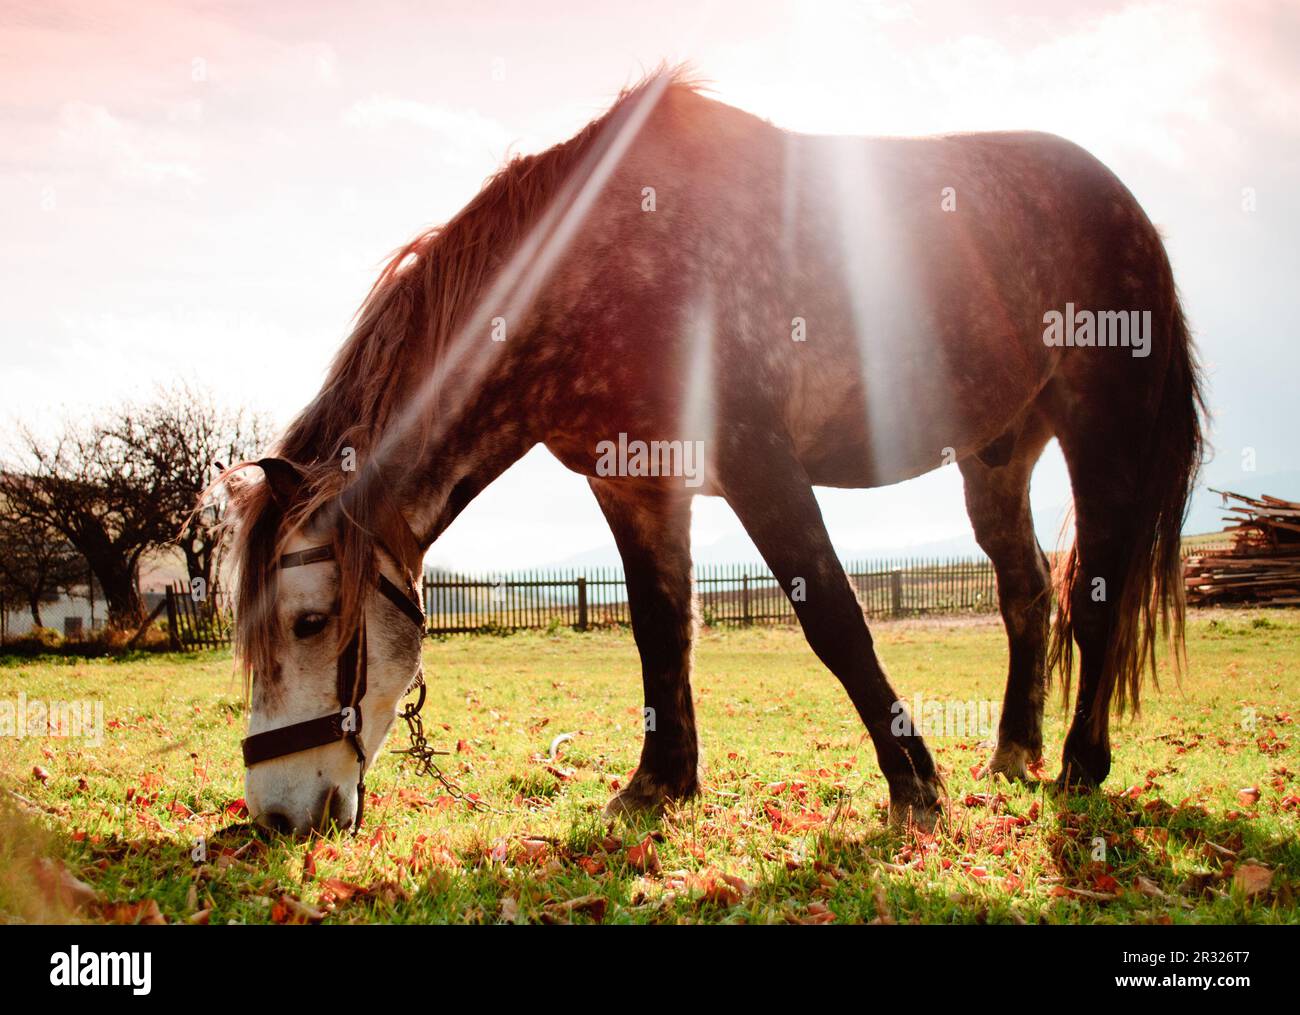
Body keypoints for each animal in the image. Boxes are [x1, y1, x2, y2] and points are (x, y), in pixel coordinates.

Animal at [225, 69, 1204, 835]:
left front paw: (915, 786)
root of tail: (1129, 210)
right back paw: (1013, 753)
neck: (593, 267)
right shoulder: (637, 486)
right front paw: (659, 784)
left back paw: (1079, 765)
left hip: (1102, 431)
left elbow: (833, 617)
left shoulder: (757, 460)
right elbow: (662, 629)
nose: (277, 816)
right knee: (1026, 593)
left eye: (310, 621)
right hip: (997, 455)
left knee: (1096, 595)